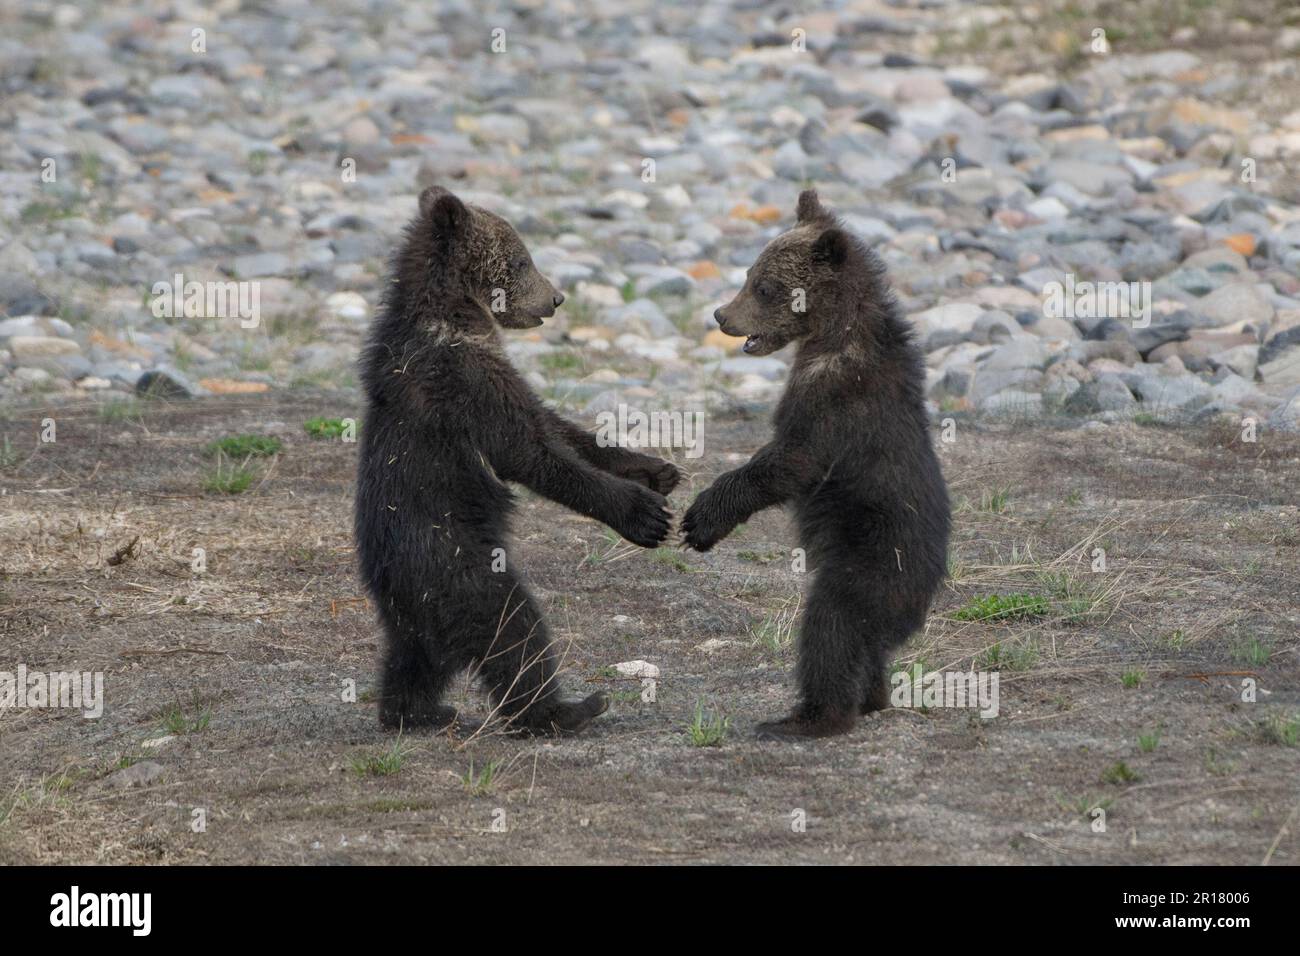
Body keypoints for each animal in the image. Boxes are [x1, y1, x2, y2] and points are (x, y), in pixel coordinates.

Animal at [355, 186, 681, 736]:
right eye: (522, 259)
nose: (556, 298)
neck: (456, 314)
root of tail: (386, 581)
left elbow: (554, 426)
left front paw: (656, 470)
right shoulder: (466, 377)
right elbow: (528, 452)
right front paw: (641, 513)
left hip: (418, 607)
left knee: (414, 658)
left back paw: (418, 711)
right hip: (458, 562)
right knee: (513, 628)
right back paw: (564, 709)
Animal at [681, 189, 950, 740]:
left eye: (763, 286)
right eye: (749, 273)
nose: (722, 315)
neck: (833, 333)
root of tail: (929, 589)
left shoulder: (833, 400)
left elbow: (791, 459)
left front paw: (702, 518)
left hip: (871, 565)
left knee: (833, 626)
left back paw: (806, 717)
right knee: (866, 646)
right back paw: (871, 698)